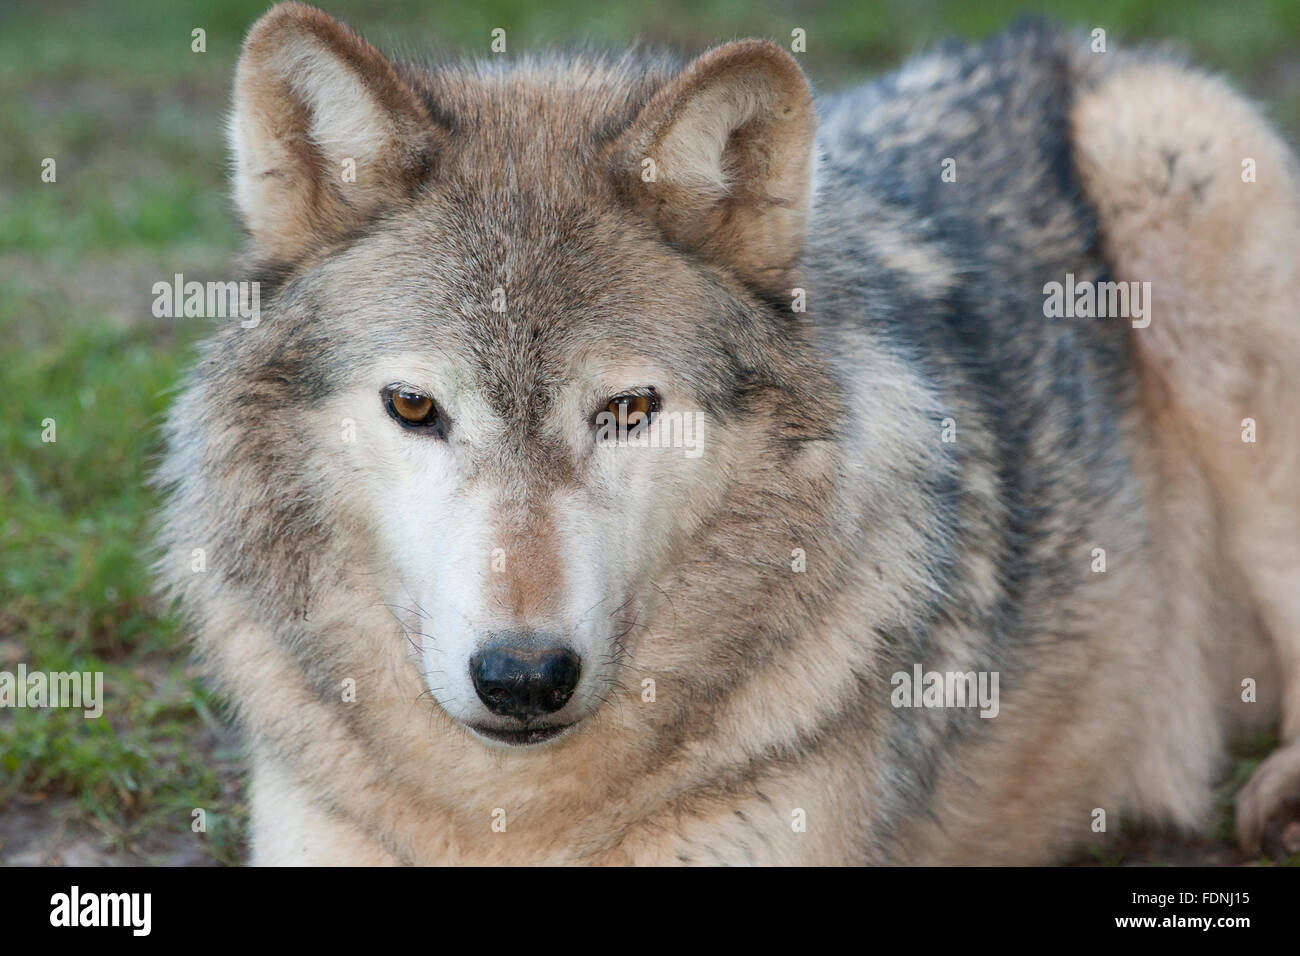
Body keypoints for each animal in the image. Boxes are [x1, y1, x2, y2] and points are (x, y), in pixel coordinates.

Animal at [156, 2, 1300, 864]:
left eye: (627, 410)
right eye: (413, 408)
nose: (524, 676)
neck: (516, 821)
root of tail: (1054, 43)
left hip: (1169, 183)